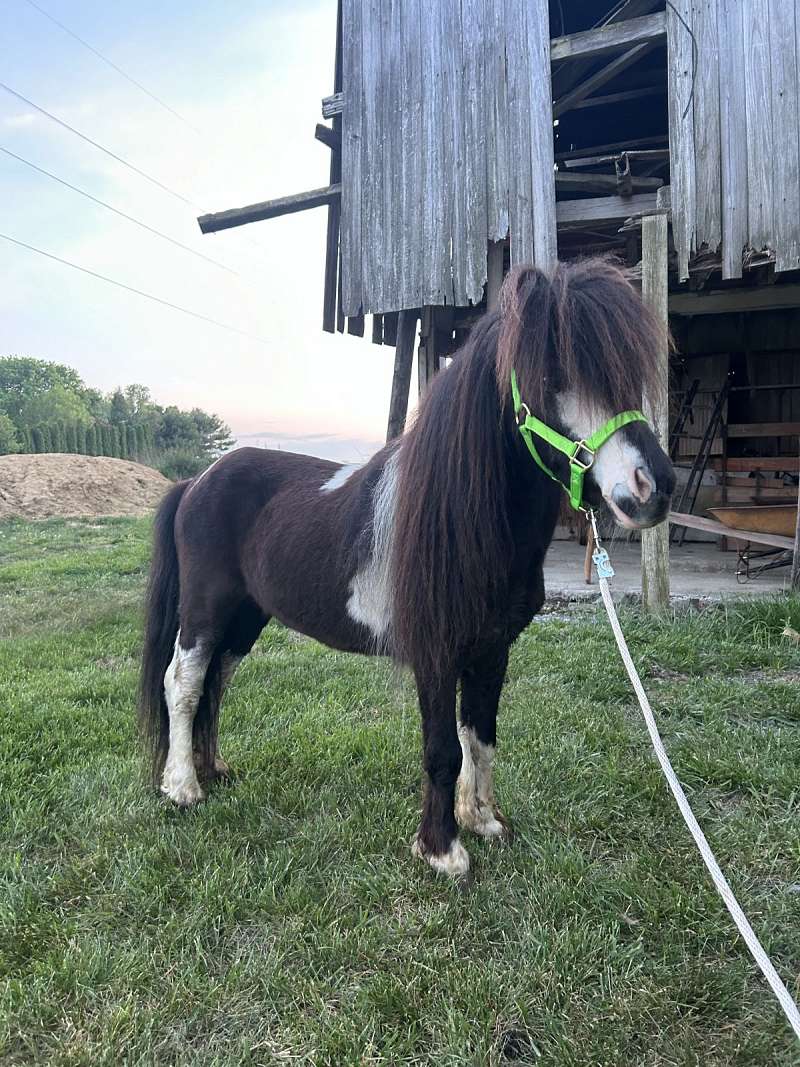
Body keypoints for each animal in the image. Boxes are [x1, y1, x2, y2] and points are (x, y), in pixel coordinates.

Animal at [139, 259, 676, 881]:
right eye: (549, 371)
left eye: (626, 371)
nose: (654, 486)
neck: (463, 526)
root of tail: (196, 481)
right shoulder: (435, 654)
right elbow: (443, 750)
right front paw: (442, 849)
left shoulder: (493, 649)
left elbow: (480, 738)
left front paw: (483, 821)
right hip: (205, 608)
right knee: (184, 682)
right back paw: (182, 787)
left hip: (248, 616)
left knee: (217, 679)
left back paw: (214, 769)